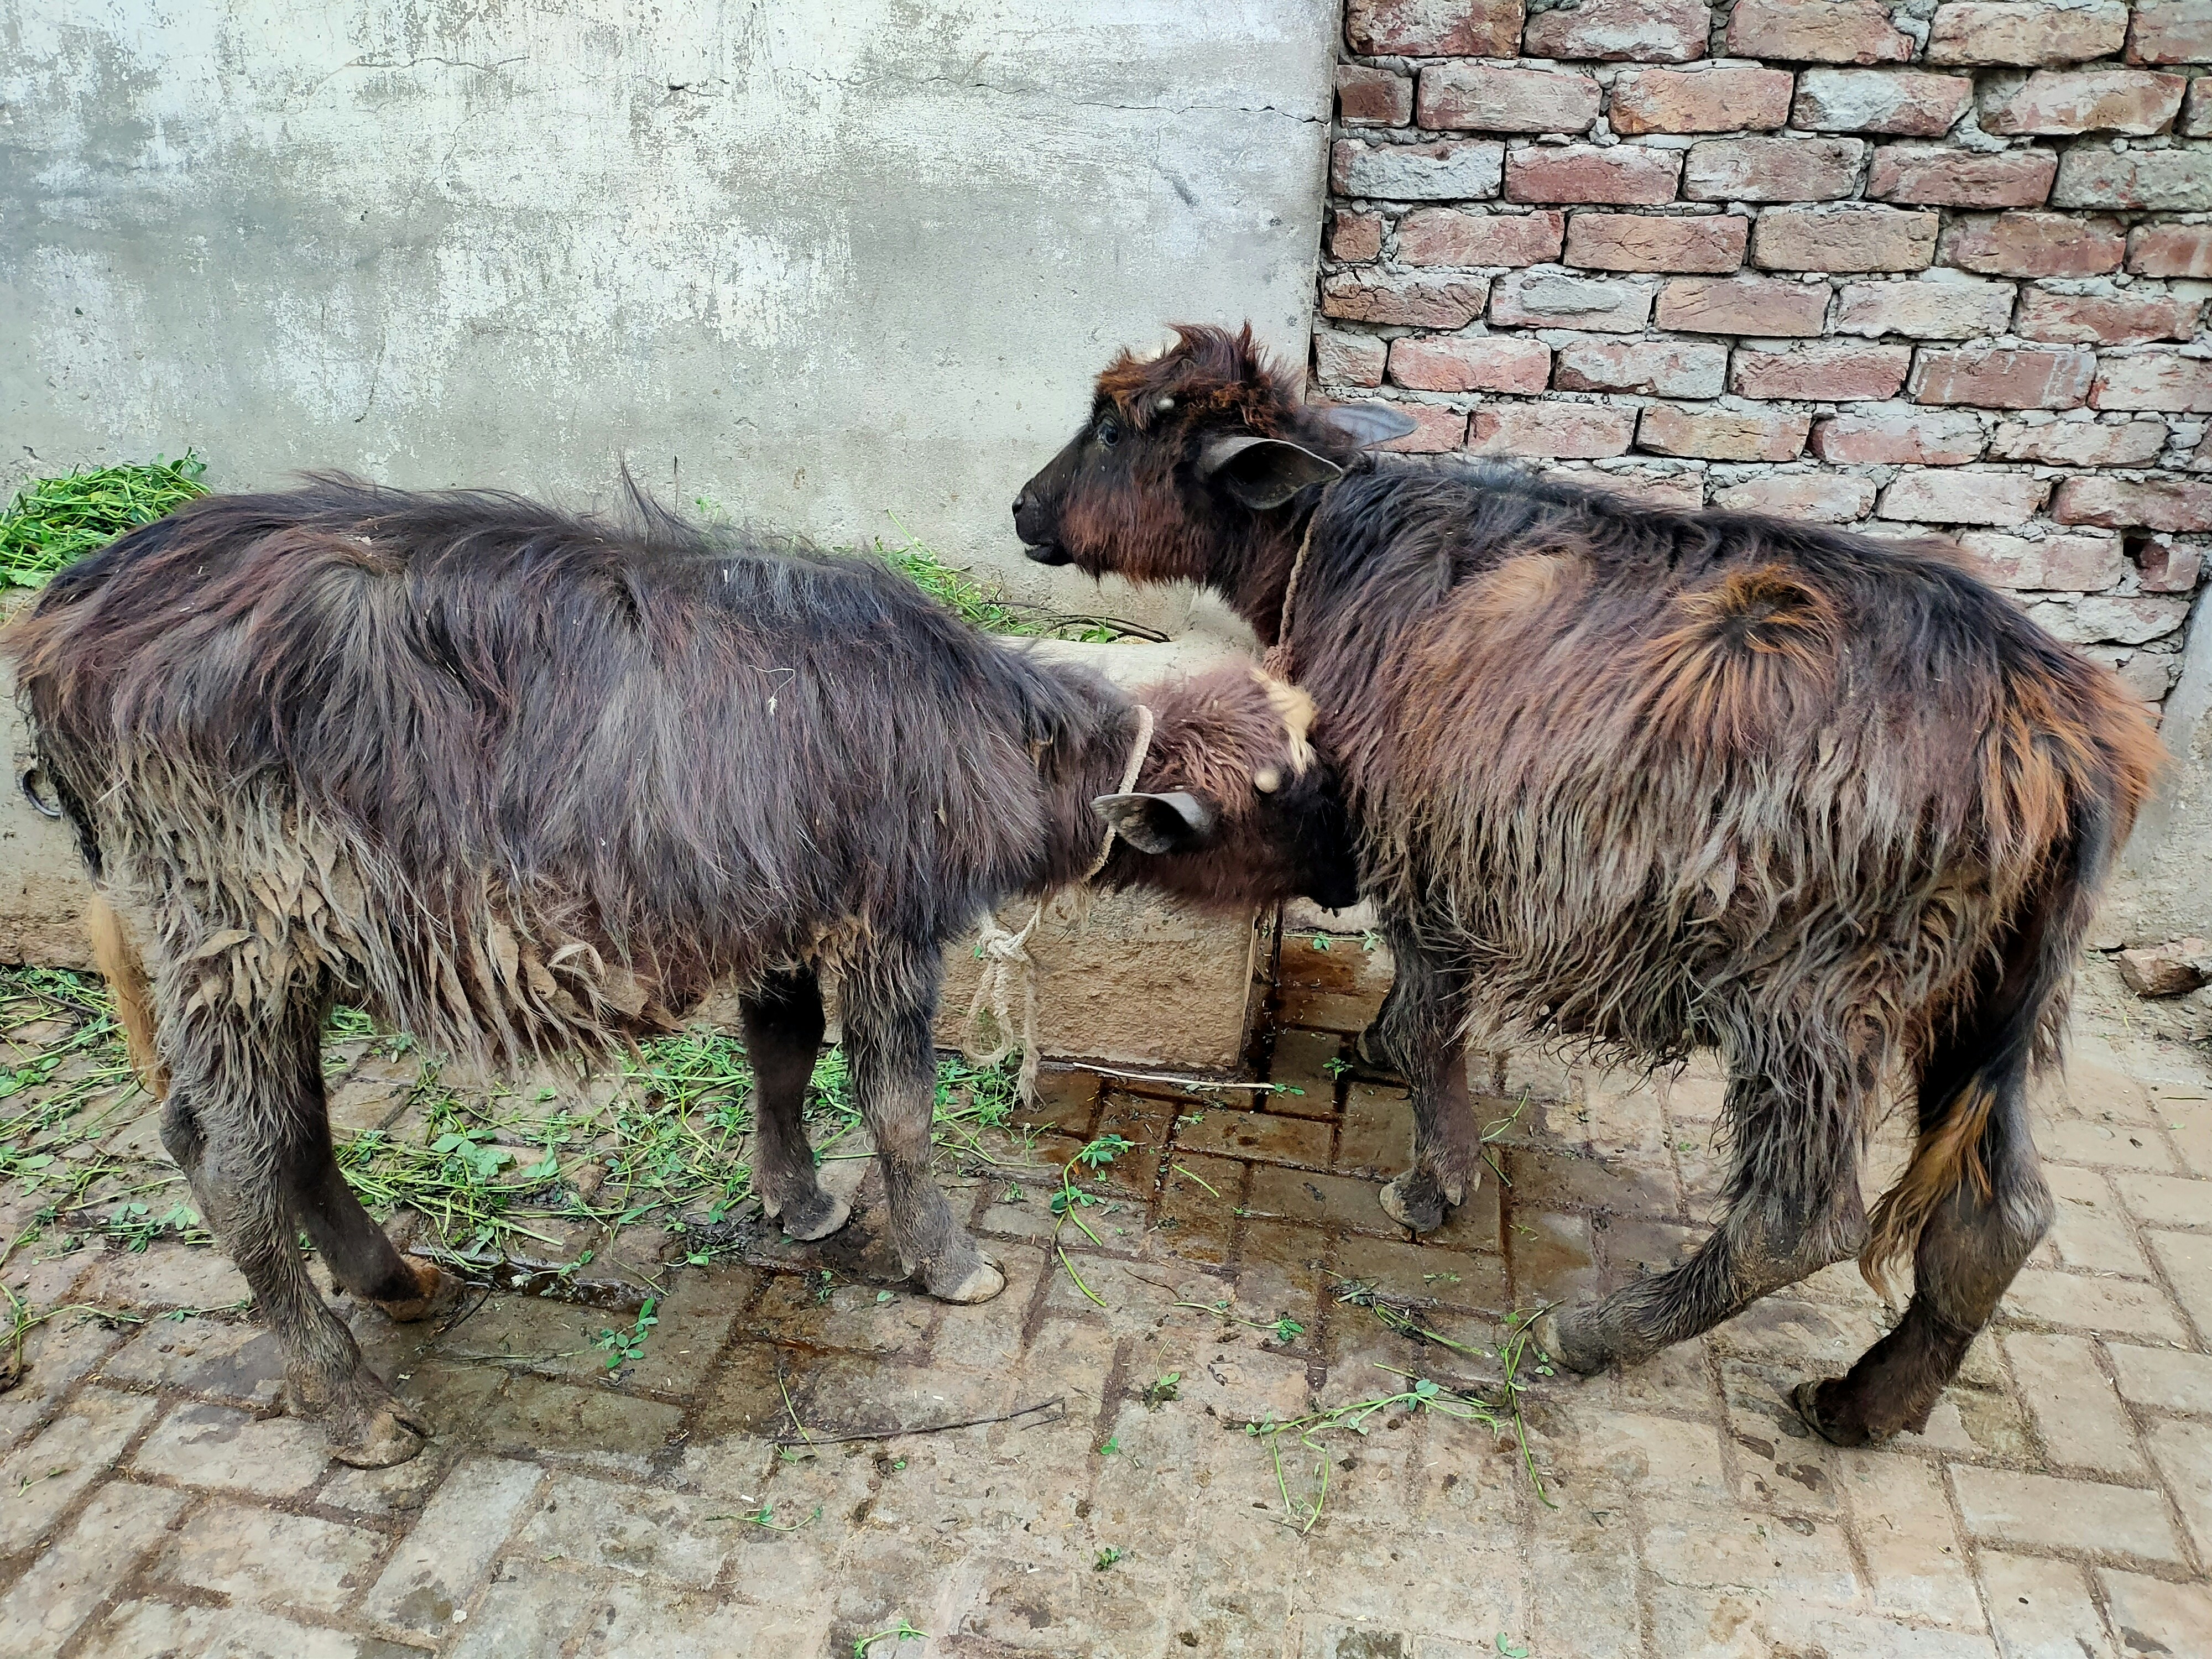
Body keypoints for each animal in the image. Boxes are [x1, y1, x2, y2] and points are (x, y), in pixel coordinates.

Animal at [7, 476, 1357, 1466]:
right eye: (1282, 792)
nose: (1356, 877)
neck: (980, 726)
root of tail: (64, 623)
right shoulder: (882, 925)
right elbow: (899, 1109)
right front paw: (948, 1261)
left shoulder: (790, 919)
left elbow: (781, 1058)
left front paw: (796, 1201)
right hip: (228, 936)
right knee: (224, 1161)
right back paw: (347, 1404)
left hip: (278, 954)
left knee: (288, 1129)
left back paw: (392, 1279)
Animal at [1011, 324, 2162, 1446]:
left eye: (1112, 428)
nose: (1024, 507)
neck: (1331, 545)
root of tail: (2060, 735)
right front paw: (1379, 1057)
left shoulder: (1421, 853)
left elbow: (1433, 1019)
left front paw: (1430, 1183)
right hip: (1993, 1002)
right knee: (1997, 1218)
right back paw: (1866, 1404)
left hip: (1816, 1002)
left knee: (1802, 1221)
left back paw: (1606, 1332)